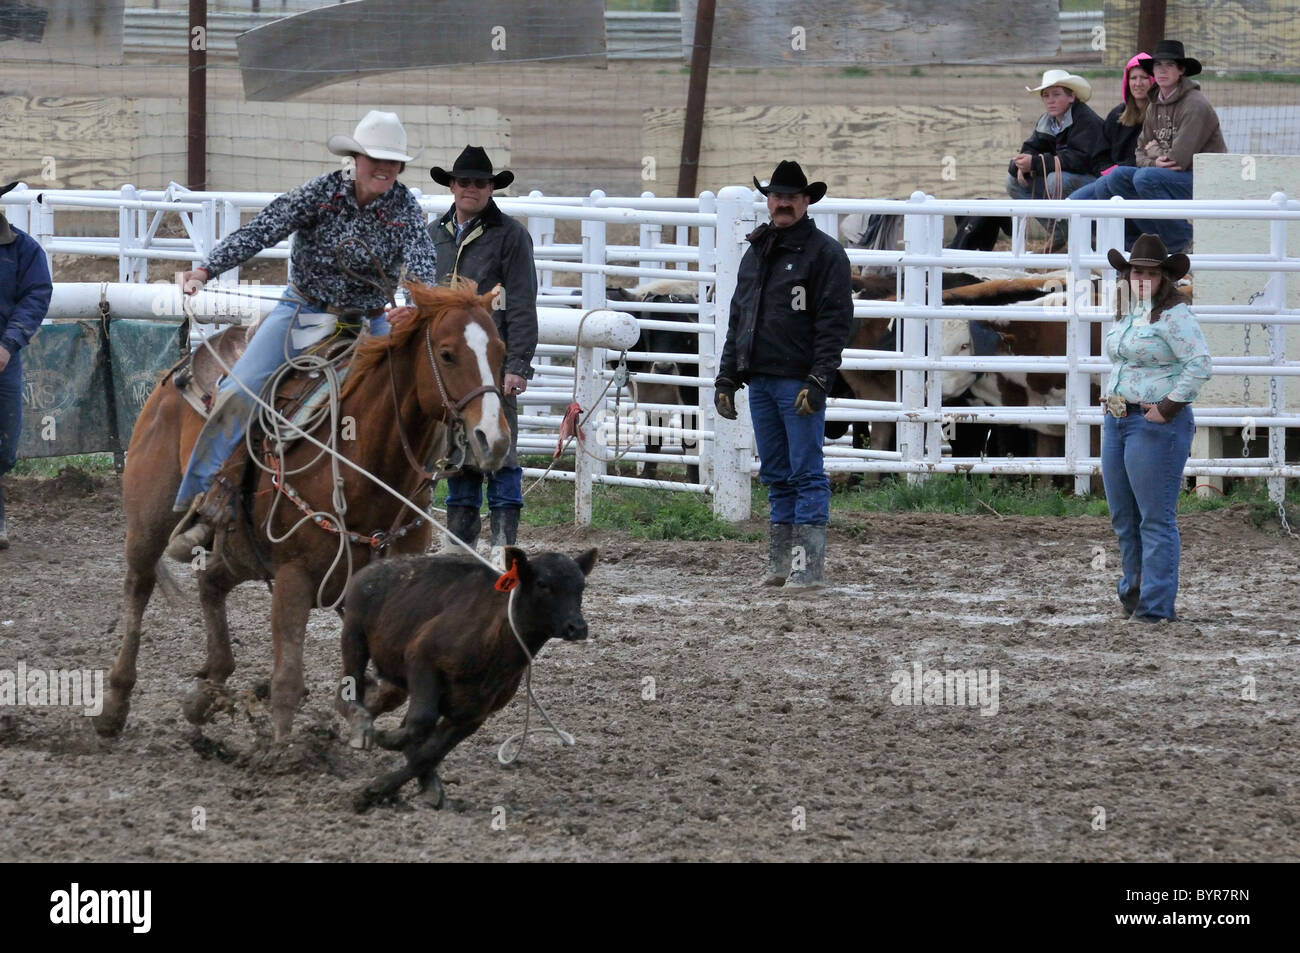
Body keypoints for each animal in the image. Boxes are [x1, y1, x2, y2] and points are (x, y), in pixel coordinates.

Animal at [340, 546, 598, 812]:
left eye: (581, 586)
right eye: (542, 583)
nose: (577, 628)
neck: (494, 639)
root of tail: (375, 566)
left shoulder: (473, 715)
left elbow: (428, 755)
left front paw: (377, 789)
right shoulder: (422, 658)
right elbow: (421, 722)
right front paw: (386, 739)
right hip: (354, 636)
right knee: (347, 692)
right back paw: (362, 727)